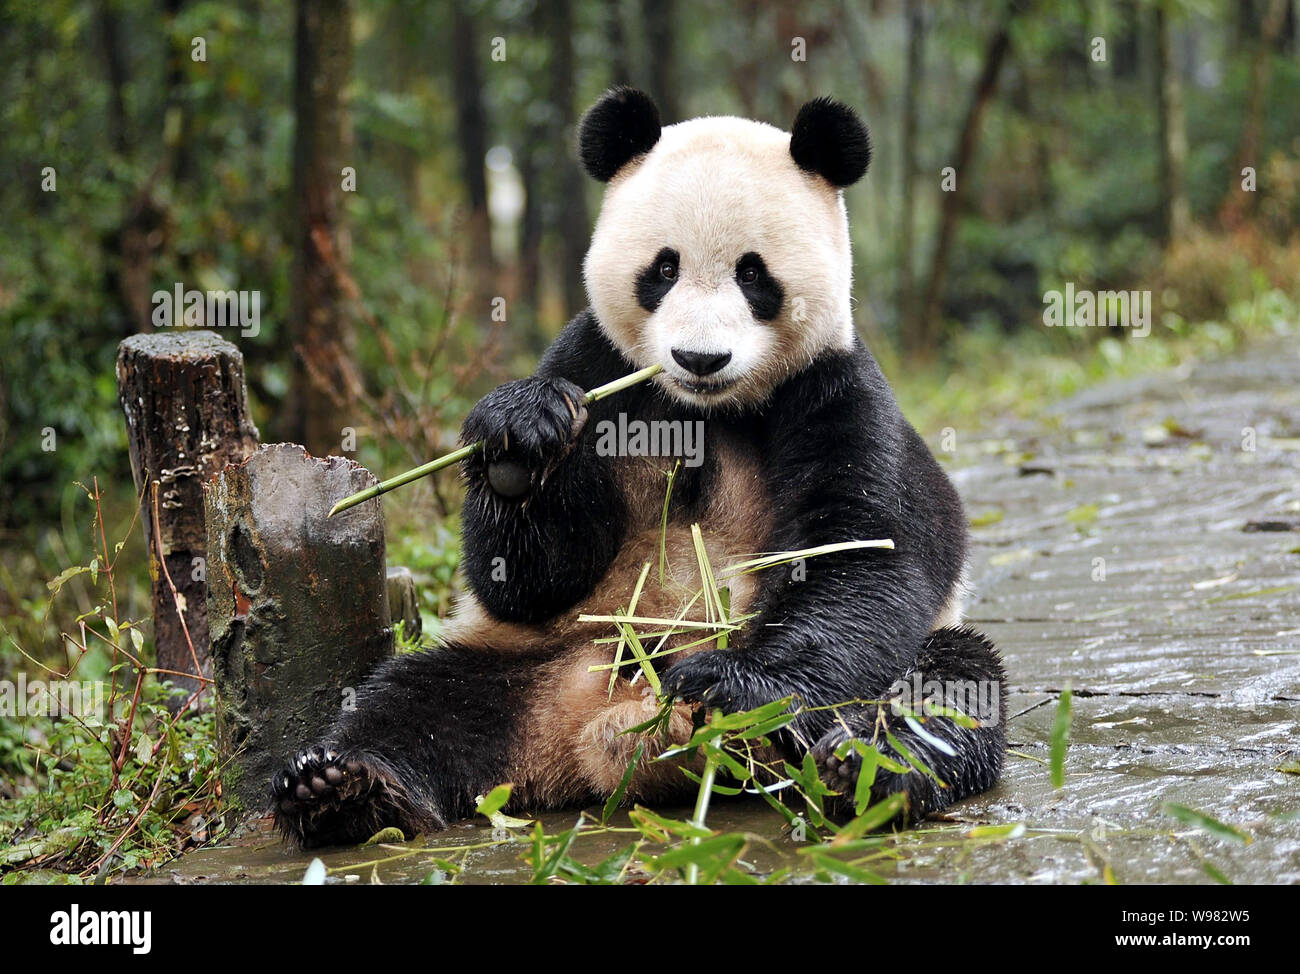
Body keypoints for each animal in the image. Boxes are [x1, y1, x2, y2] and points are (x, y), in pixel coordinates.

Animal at [272, 87, 1007, 847]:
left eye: (753, 274)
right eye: (663, 269)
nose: (699, 358)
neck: (705, 410)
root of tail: (584, 742)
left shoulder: (832, 388)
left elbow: (863, 555)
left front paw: (732, 684)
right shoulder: (594, 362)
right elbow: (526, 580)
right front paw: (520, 443)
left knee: (948, 685)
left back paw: (864, 768)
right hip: (519, 660)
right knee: (412, 701)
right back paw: (340, 787)